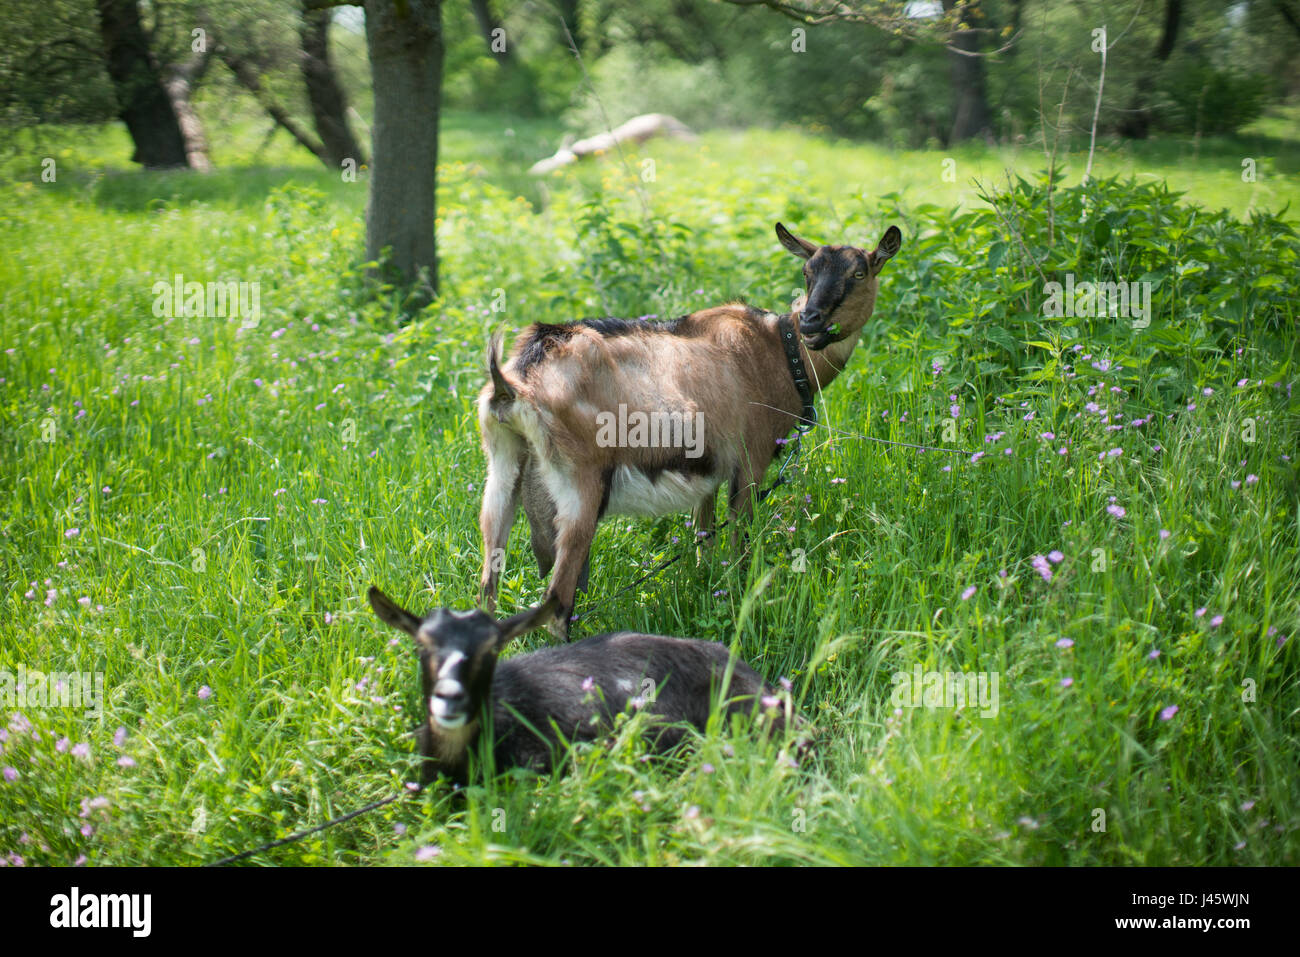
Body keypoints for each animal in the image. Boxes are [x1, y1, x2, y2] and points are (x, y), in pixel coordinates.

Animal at [478, 221, 902, 638]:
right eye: (806, 272)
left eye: (859, 273)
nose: (812, 321)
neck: (781, 352)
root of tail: (515, 383)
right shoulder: (750, 459)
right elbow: (740, 540)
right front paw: (740, 596)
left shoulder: (708, 472)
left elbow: (704, 538)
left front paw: (705, 583)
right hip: (580, 488)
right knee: (557, 602)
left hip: (500, 479)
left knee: (487, 589)